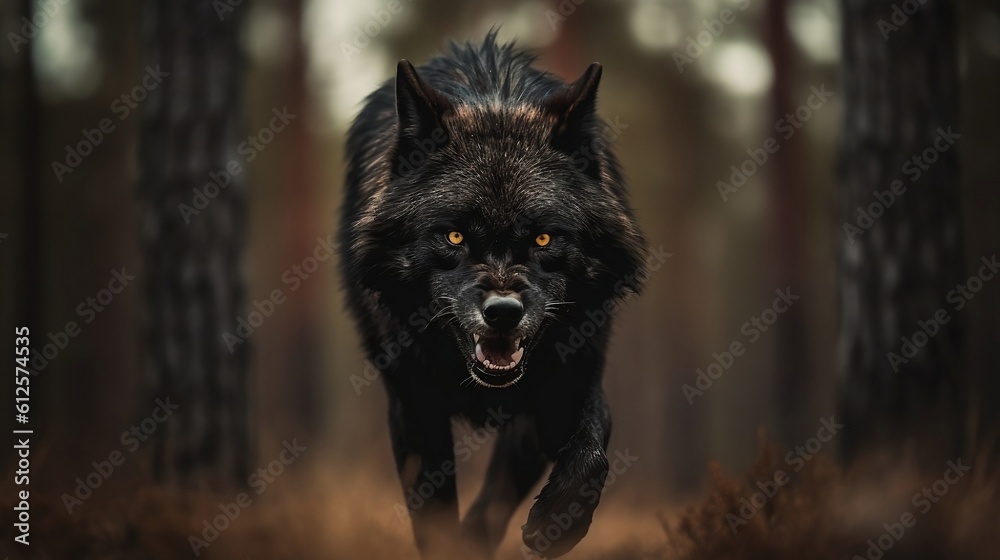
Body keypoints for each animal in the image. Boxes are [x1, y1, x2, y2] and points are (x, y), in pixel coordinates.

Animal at [339, 31, 647, 558]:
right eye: (454, 236)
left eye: (543, 238)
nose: (503, 313)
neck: (492, 96)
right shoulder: (413, 403)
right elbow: (435, 513)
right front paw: (455, 545)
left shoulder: (570, 374)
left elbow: (595, 436)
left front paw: (560, 520)